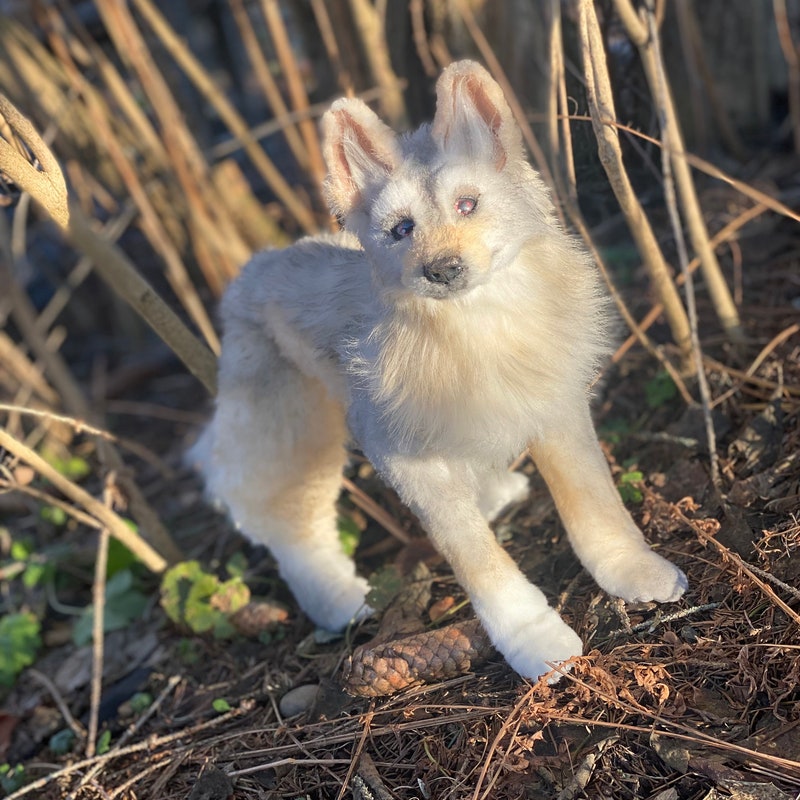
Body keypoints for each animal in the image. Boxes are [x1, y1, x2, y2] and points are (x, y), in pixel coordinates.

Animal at [189, 60, 688, 682]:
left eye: (468, 205)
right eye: (401, 229)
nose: (442, 269)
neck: (472, 330)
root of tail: (251, 270)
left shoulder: (554, 409)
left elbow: (593, 502)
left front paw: (634, 570)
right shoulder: (405, 460)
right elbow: (477, 557)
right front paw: (536, 642)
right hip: (288, 432)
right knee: (292, 527)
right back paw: (339, 602)